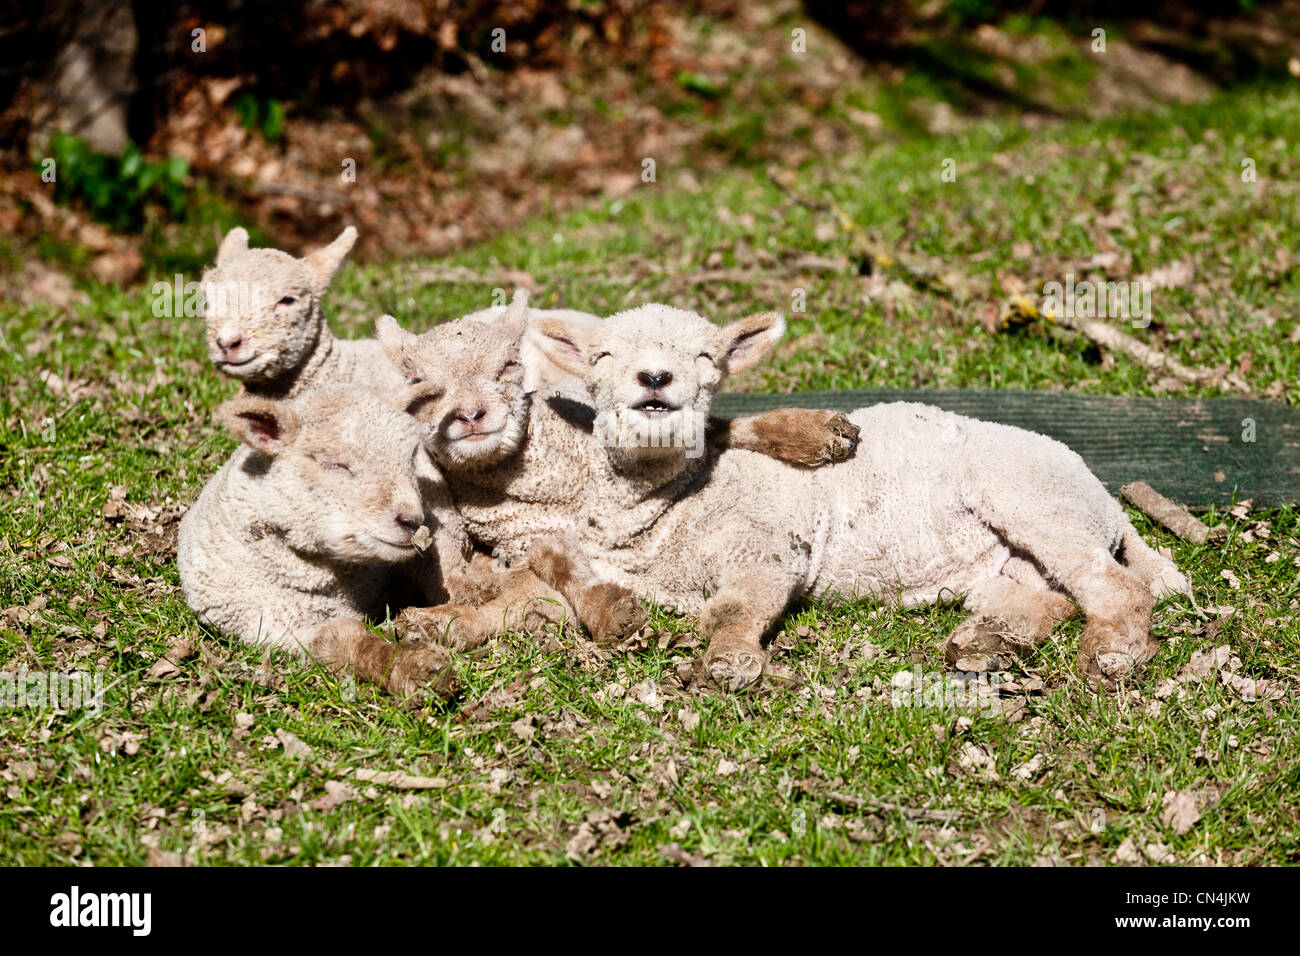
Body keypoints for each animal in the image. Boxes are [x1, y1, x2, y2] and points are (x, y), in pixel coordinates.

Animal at [371, 291, 864, 646]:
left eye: (510, 365)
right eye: (418, 383)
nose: (471, 415)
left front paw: (816, 433)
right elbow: (510, 583)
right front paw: (442, 623)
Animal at [525, 304, 1191, 691]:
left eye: (708, 359)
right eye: (601, 357)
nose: (656, 380)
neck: (667, 506)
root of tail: (1102, 493)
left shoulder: (766, 546)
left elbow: (741, 605)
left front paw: (728, 660)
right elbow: (563, 568)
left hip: (1032, 496)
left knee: (1113, 586)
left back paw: (1110, 655)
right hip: (1019, 545)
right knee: (1051, 592)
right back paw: (988, 640)